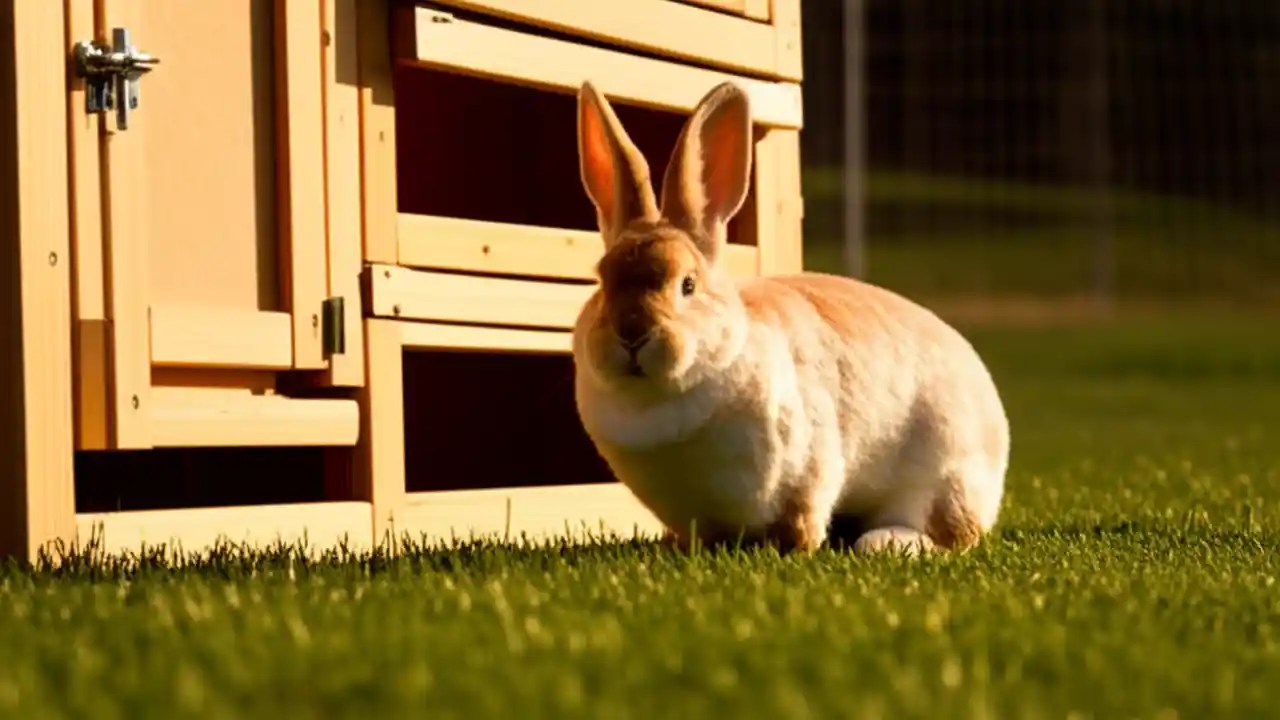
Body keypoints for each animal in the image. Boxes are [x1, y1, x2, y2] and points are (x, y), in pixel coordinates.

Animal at [570, 80, 1010, 556]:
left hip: (942, 475)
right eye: (602, 280)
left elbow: (800, 519)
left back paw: (884, 542)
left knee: (950, 531)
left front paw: (790, 548)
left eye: (687, 284)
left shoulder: (808, 467)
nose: (632, 334)